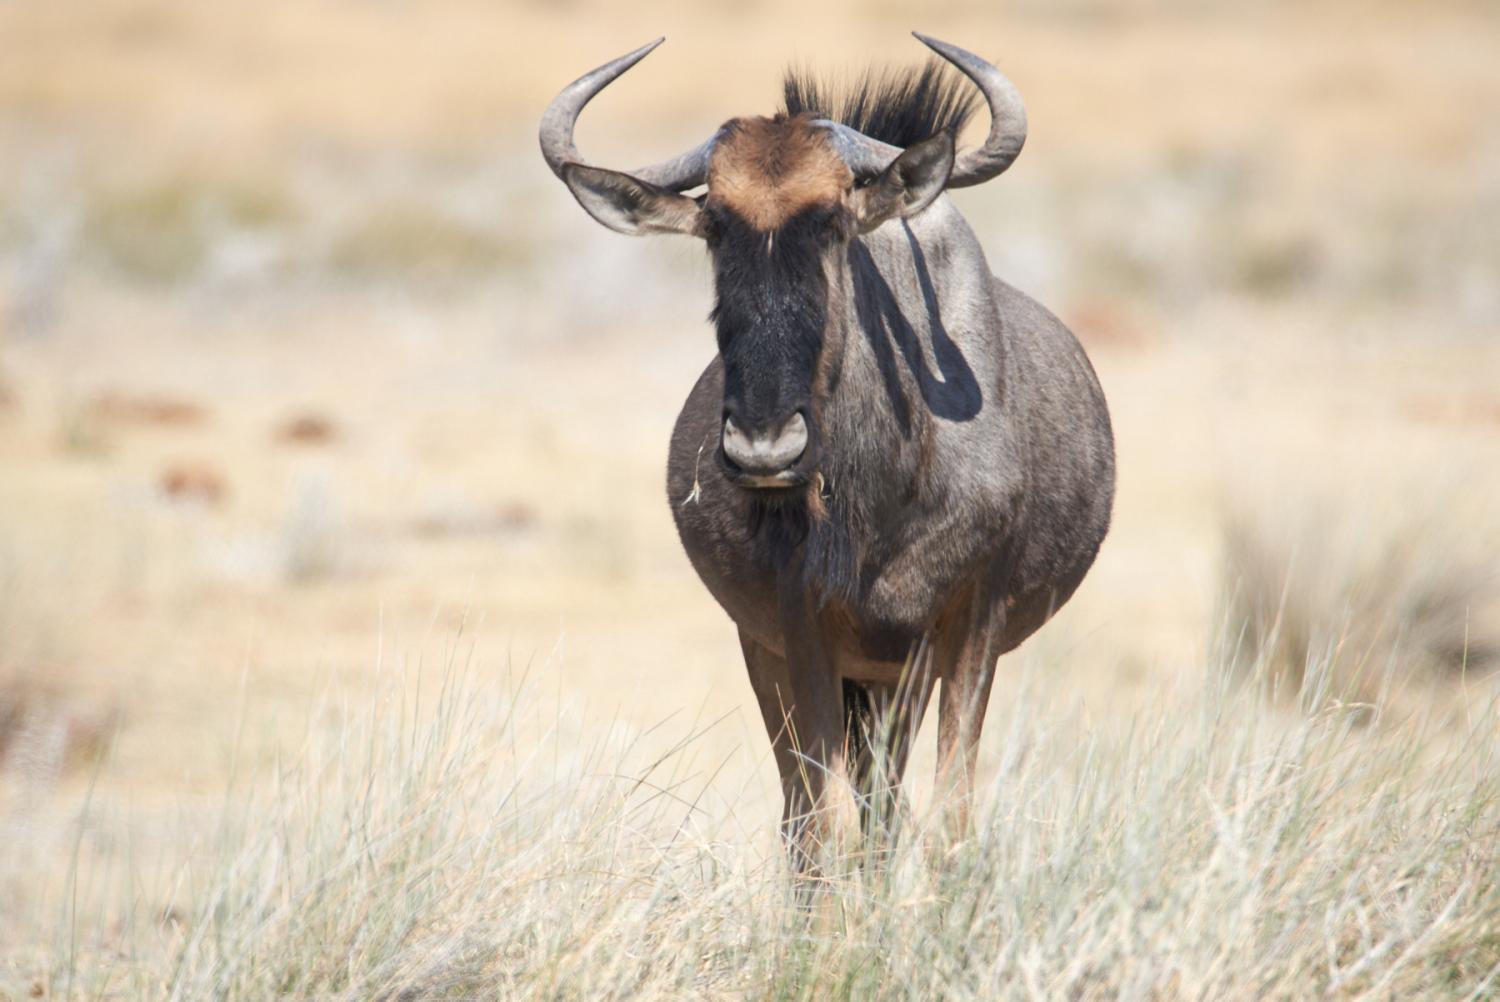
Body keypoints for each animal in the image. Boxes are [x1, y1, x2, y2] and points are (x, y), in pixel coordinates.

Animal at [541, 34, 1115, 866]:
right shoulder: (801, 630)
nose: (763, 449)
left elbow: (948, 822)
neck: (891, 484)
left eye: (834, 219)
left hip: (890, 680)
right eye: (716, 223)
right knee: (810, 818)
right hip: (788, 661)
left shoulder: (963, 631)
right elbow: (823, 824)